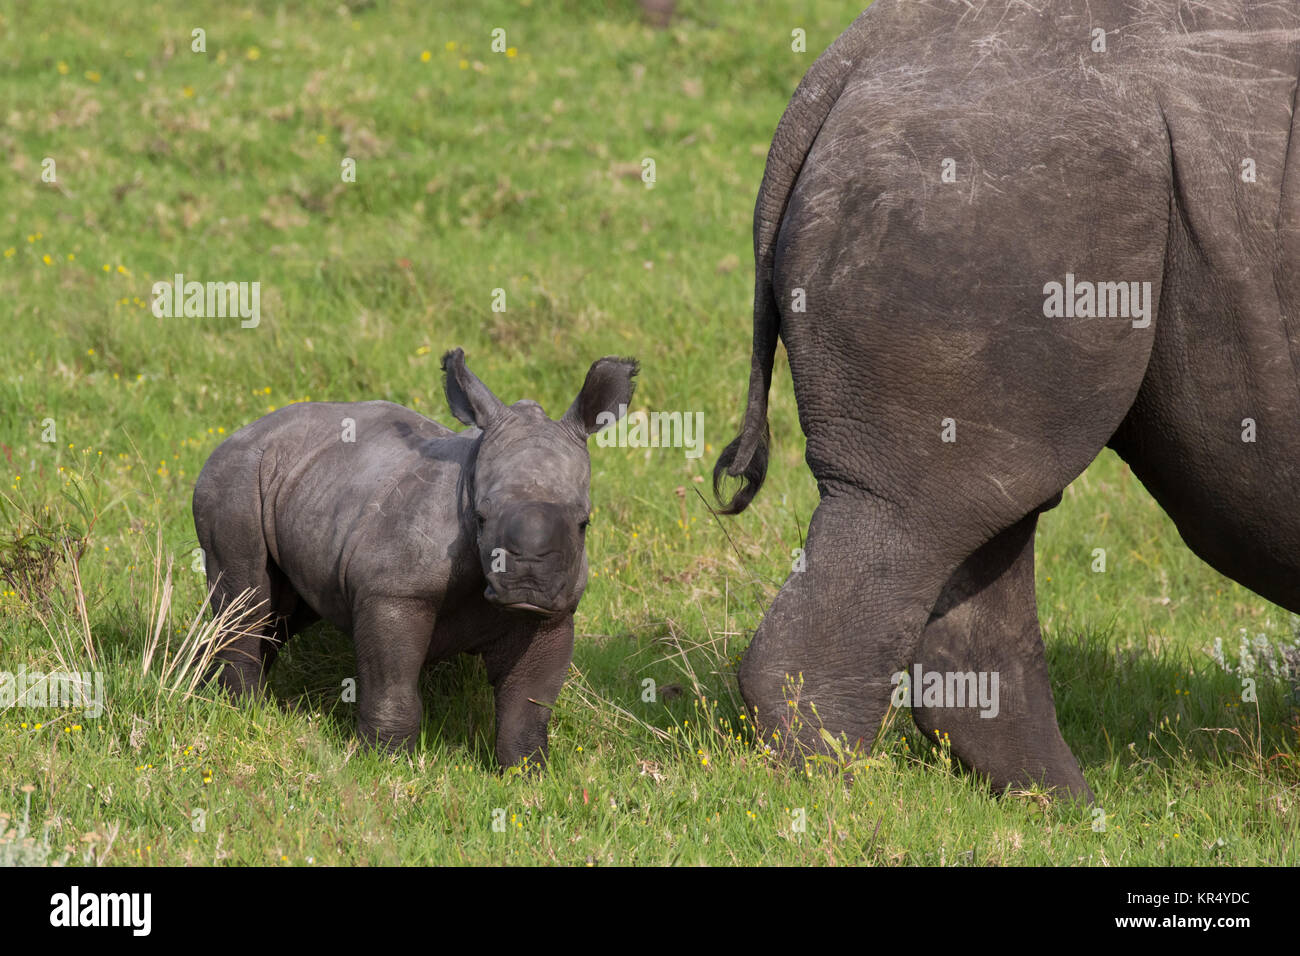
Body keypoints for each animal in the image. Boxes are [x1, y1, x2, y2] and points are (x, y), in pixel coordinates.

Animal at [193, 349, 637, 769]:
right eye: (481, 517)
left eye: (584, 523)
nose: (526, 582)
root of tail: (245, 429)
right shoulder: (394, 591)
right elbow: (392, 684)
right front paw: (386, 763)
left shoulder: (555, 612)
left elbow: (528, 705)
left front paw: (527, 775)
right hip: (234, 476)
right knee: (248, 597)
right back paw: (245, 710)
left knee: (283, 609)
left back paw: (214, 693)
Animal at [715, 0, 1300, 802]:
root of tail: (851, 56)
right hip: (987, 186)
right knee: (922, 508)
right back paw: (840, 799)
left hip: (1007, 184)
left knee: (982, 505)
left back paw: (1061, 808)